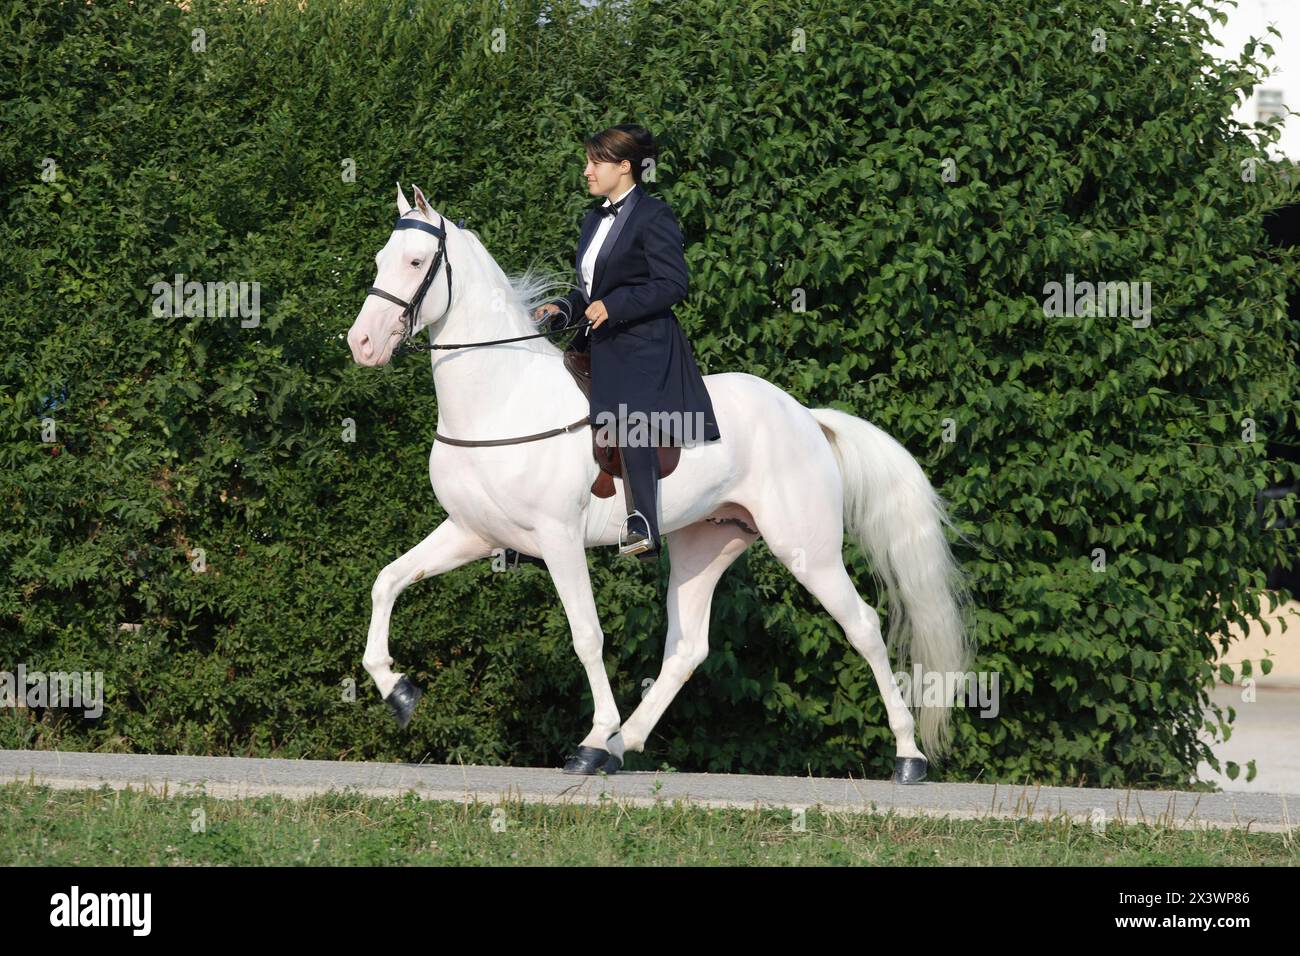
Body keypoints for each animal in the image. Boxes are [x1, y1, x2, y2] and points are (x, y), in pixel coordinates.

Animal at [346, 184, 974, 783]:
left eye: (415, 261)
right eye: (380, 259)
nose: (362, 345)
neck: (502, 399)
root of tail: (806, 416)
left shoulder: (558, 539)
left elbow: (587, 635)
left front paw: (589, 737)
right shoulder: (470, 533)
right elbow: (386, 582)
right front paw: (398, 690)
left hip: (807, 550)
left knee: (863, 626)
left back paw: (909, 756)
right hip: (707, 542)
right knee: (687, 647)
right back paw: (622, 744)